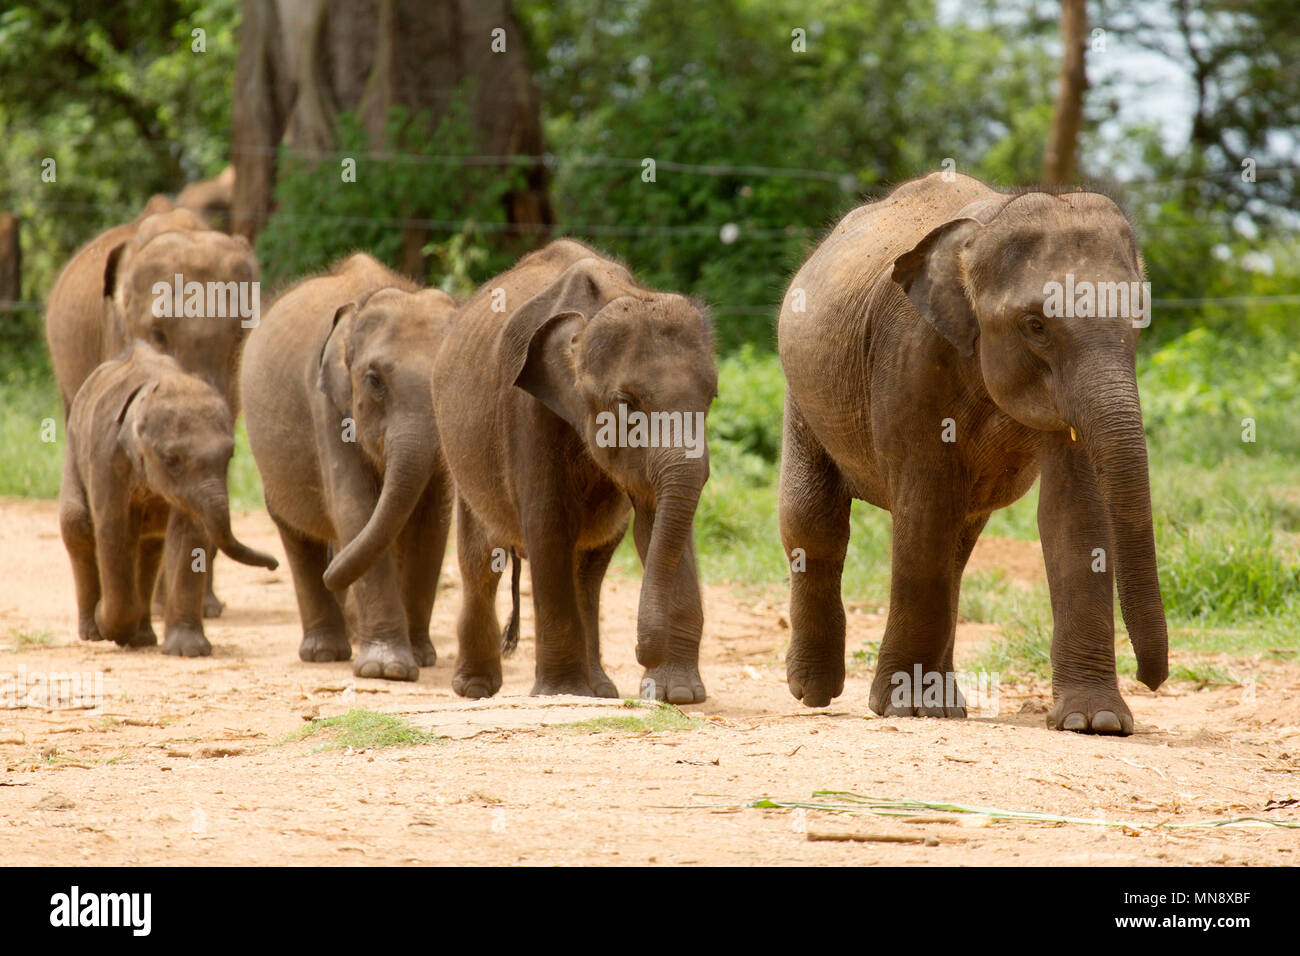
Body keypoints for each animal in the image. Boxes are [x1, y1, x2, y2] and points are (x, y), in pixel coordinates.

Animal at [59, 342, 279, 656]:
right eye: (171, 460)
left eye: (230, 455)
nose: (275, 565)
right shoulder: (107, 457)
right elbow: (114, 532)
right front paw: (107, 621)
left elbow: (189, 533)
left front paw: (188, 651)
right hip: (74, 450)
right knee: (77, 524)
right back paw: (93, 632)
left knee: (150, 548)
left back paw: (141, 637)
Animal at [240, 253, 457, 681]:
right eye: (374, 380)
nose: (334, 572)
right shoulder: (326, 404)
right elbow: (355, 508)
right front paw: (386, 670)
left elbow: (432, 520)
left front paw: (420, 658)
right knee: (297, 531)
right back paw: (325, 651)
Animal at [433, 239, 717, 703]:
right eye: (625, 403)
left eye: (712, 397)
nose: (641, 652)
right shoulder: (527, 410)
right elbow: (549, 524)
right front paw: (560, 693)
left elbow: (655, 519)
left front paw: (677, 694)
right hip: (461, 455)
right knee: (481, 561)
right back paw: (476, 688)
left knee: (589, 569)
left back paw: (599, 690)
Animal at [777, 172, 1168, 735]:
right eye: (1035, 325)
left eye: (1138, 320)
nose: (1151, 679)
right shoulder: (910, 355)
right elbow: (925, 506)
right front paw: (904, 707)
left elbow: (1074, 512)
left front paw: (1096, 721)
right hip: (802, 394)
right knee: (814, 523)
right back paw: (815, 692)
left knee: (957, 547)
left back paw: (946, 705)